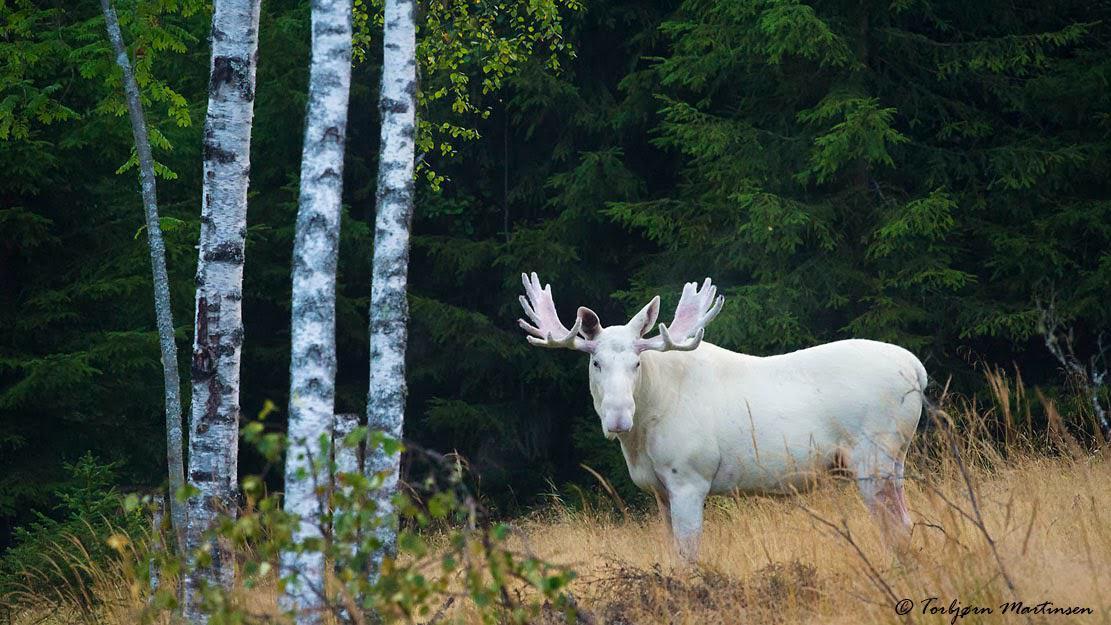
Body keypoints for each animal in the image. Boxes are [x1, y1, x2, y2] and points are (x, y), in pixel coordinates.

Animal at [517, 272, 926, 560]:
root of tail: (918, 370)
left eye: (637, 363)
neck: (642, 435)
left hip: (873, 456)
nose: (618, 418)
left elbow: (688, 554)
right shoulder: (660, 490)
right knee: (906, 523)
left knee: (895, 527)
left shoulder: (689, 477)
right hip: (893, 460)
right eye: (596, 362)